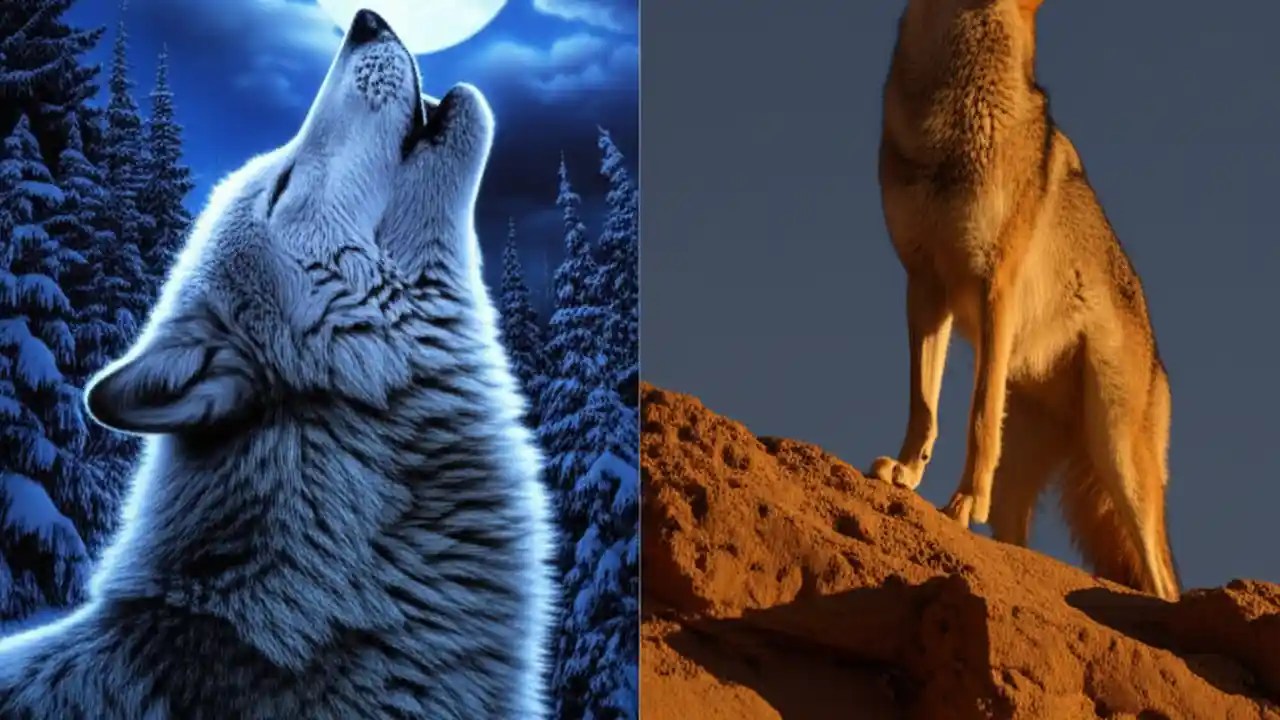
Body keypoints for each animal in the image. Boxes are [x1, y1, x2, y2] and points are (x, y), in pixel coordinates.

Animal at [868, 0, 1180, 601]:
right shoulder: (924, 283)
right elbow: (924, 405)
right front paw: (908, 474)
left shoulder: (997, 287)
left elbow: (978, 412)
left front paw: (962, 501)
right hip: (1035, 478)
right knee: (1016, 544)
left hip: (1118, 456)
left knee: (1162, 579)